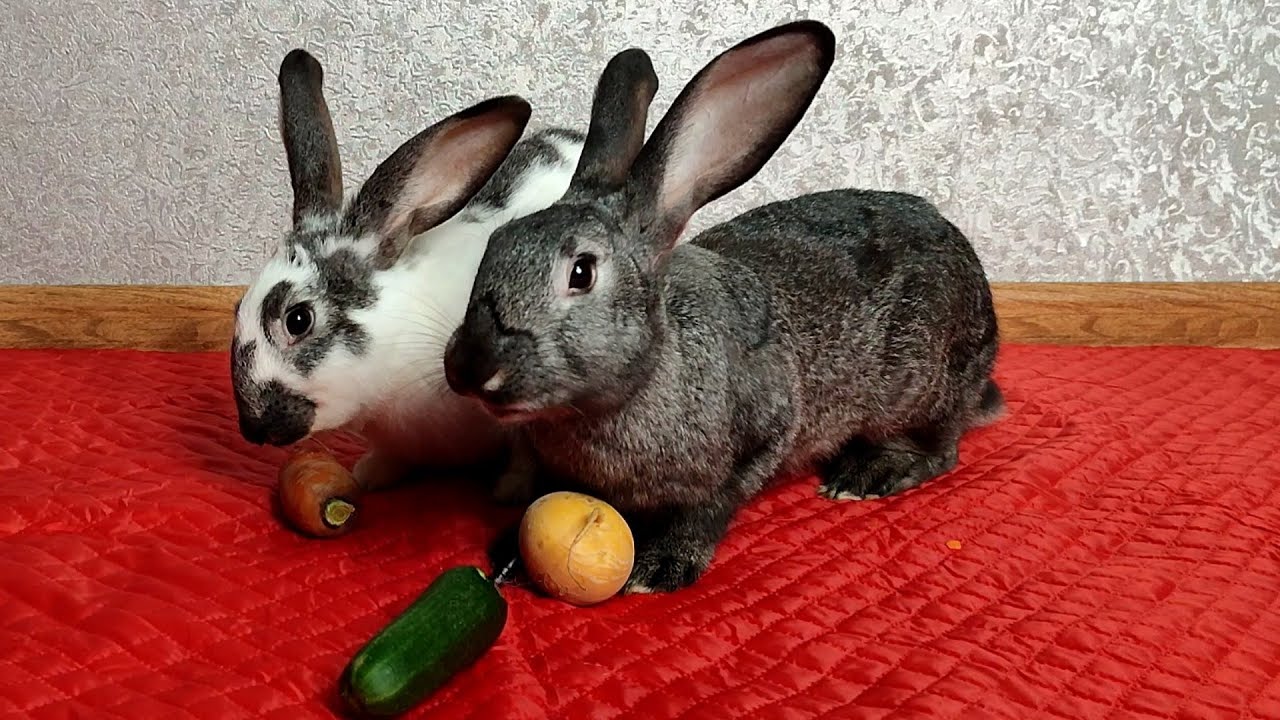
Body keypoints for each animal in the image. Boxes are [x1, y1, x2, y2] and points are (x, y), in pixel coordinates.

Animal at [230, 48, 585, 497]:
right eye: (237, 308)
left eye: (298, 319)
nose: (252, 429)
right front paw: (367, 474)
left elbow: (524, 449)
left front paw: (510, 489)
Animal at [442, 20, 1004, 594]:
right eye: (496, 244)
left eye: (582, 272)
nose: (469, 366)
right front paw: (510, 555)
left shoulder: (765, 433)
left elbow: (711, 507)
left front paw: (662, 566)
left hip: (926, 387)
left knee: (943, 448)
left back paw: (872, 474)